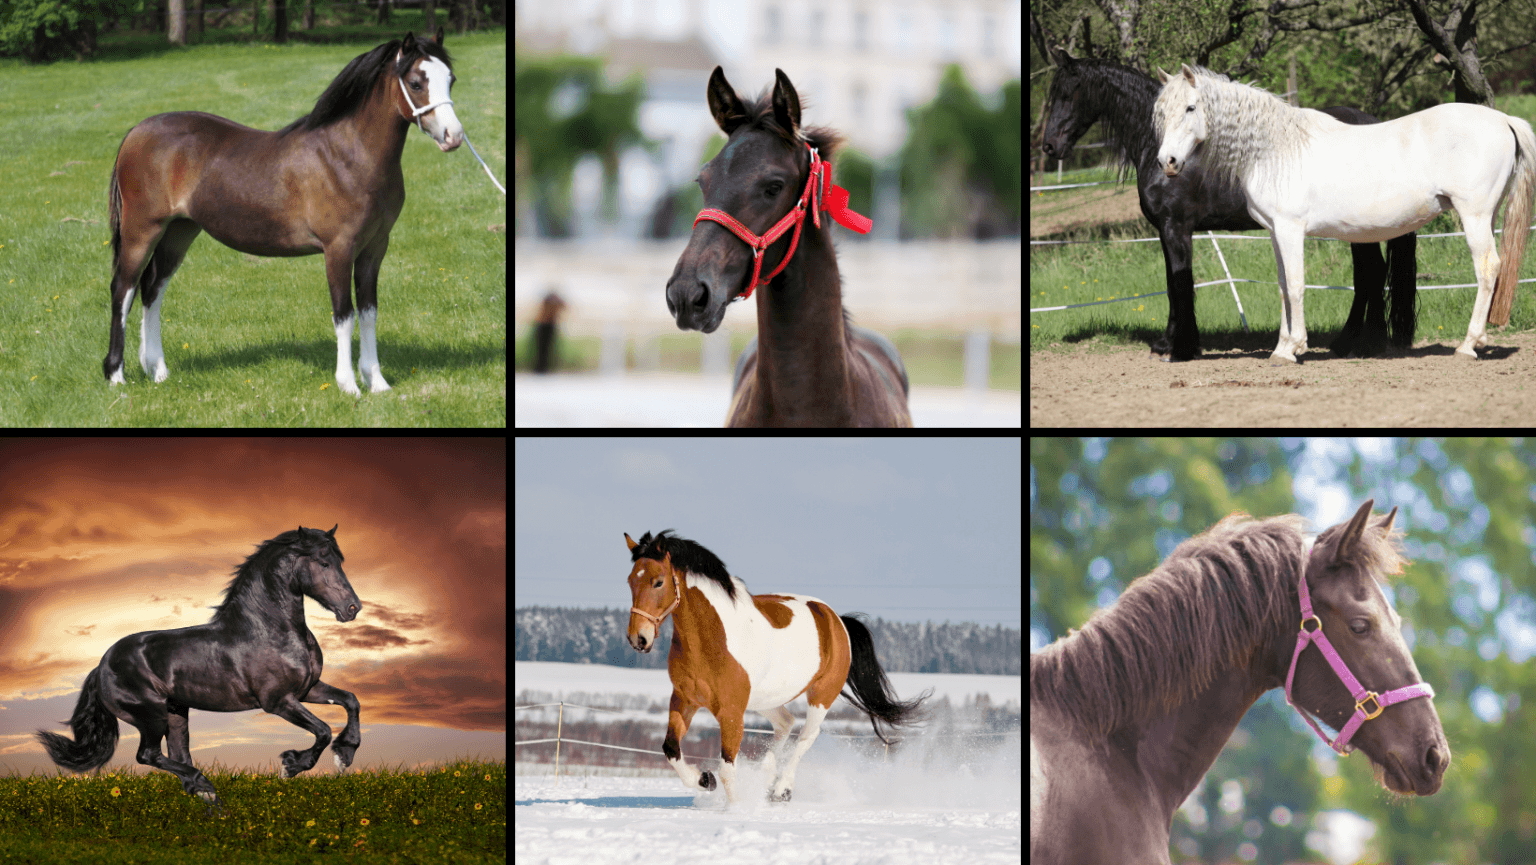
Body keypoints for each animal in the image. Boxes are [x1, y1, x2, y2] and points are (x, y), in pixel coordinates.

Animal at [36, 525, 363, 811]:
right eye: (323, 561)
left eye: (340, 560)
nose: (352, 608)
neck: (268, 629)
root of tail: (101, 667)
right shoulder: (278, 701)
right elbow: (323, 730)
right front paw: (291, 765)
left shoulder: (307, 690)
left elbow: (351, 701)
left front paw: (345, 754)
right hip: (150, 715)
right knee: (149, 755)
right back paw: (206, 787)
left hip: (176, 714)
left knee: (178, 756)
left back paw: (208, 798)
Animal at [104, 29, 464, 396]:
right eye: (416, 82)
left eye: (450, 78)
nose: (454, 136)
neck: (347, 155)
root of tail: (136, 132)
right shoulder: (339, 249)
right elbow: (344, 315)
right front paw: (348, 384)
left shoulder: (374, 248)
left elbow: (368, 312)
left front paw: (377, 382)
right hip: (142, 231)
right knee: (123, 290)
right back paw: (116, 374)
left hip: (179, 232)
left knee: (152, 290)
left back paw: (157, 370)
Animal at [624, 530, 927, 804]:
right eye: (630, 581)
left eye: (658, 582)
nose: (638, 639)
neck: (711, 639)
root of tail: (836, 620)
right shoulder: (684, 699)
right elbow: (671, 750)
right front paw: (704, 779)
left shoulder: (731, 712)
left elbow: (727, 768)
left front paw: (736, 808)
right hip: (764, 699)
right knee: (785, 723)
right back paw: (767, 777)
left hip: (821, 696)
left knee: (805, 736)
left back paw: (781, 788)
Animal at [1039, 52, 1417, 360]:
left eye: (1067, 93)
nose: (1048, 146)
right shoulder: (1167, 231)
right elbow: (1172, 281)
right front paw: (1169, 343)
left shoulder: (1175, 228)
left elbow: (1179, 283)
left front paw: (1180, 348)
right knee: (1370, 274)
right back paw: (1354, 342)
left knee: (1371, 273)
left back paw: (1362, 343)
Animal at [1154, 63, 1536, 364]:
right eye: (1161, 112)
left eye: (1190, 107)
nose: (1167, 162)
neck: (1276, 148)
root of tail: (1503, 119)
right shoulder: (1276, 232)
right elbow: (1283, 287)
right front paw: (1281, 348)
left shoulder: (1290, 229)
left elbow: (1296, 285)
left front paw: (1294, 348)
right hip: (1486, 215)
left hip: (1474, 216)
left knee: (1488, 268)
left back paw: (1468, 345)